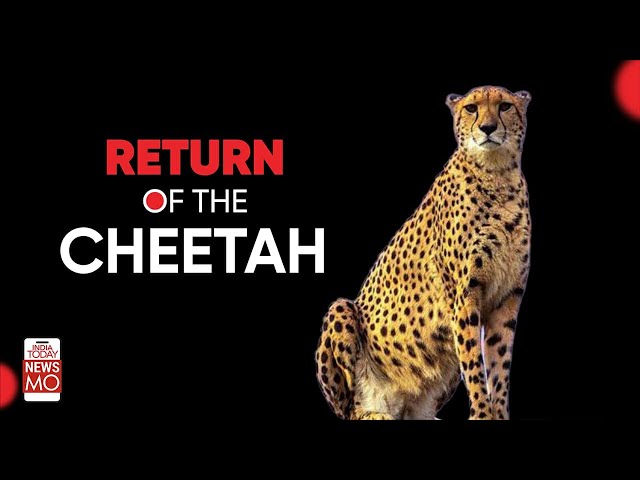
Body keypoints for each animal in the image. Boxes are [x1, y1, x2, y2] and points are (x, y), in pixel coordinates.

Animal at [316, 86, 532, 420]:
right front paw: (482, 414)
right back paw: (373, 412)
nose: (487, 128)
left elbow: (499, 365)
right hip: (341, 309)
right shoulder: (464, 297)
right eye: (471, 108)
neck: (496, 175)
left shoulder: (507, 299)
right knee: (349, 406)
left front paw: (499, 414)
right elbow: (475, 364)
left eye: (505, 106)